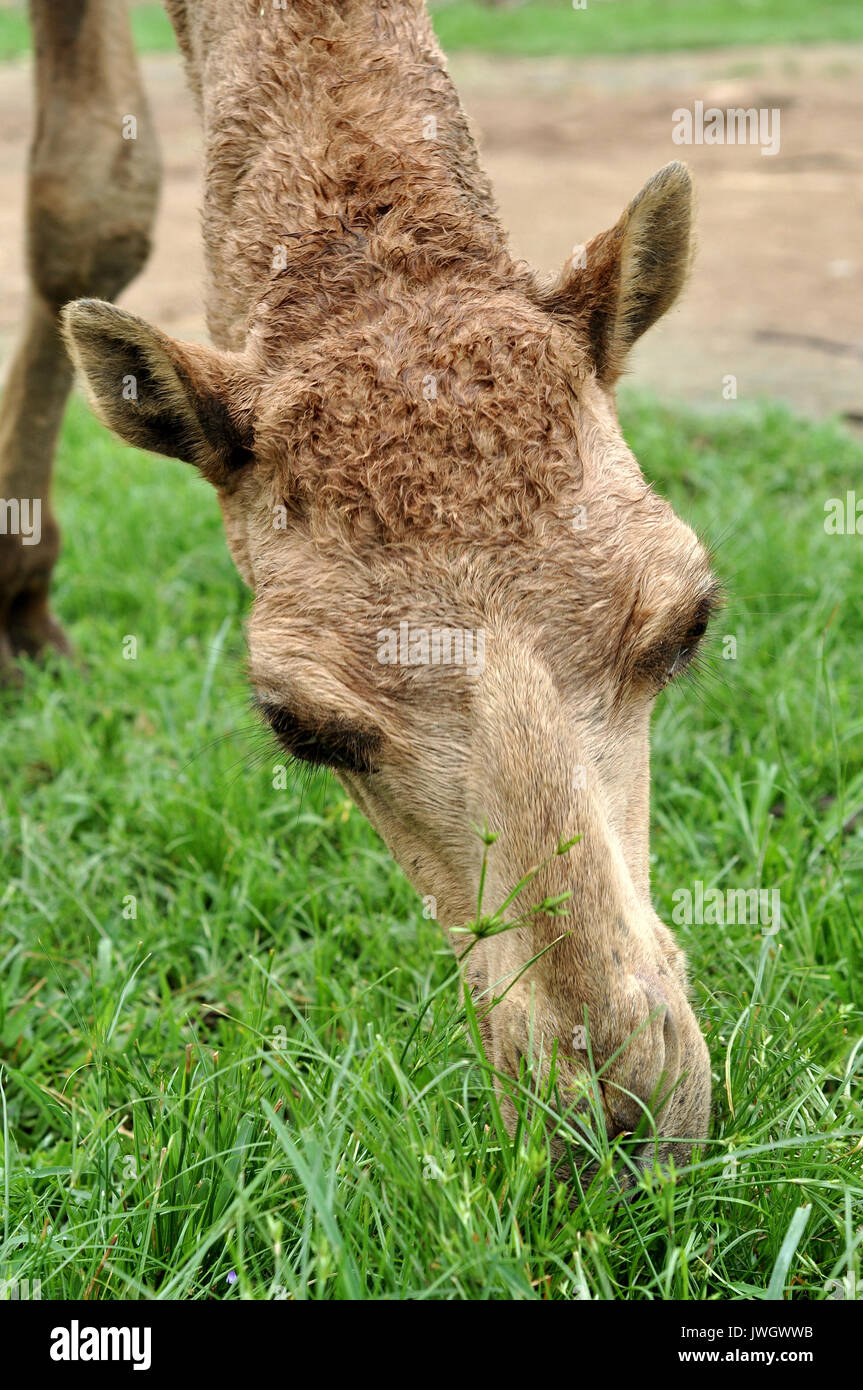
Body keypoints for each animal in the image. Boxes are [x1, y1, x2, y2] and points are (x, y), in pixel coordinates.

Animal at [0, 0, 717, 1171]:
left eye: (687, 624)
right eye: (298, 725)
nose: (615, 1118)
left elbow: (94, 209)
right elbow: (79, 202)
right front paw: (18, 604)